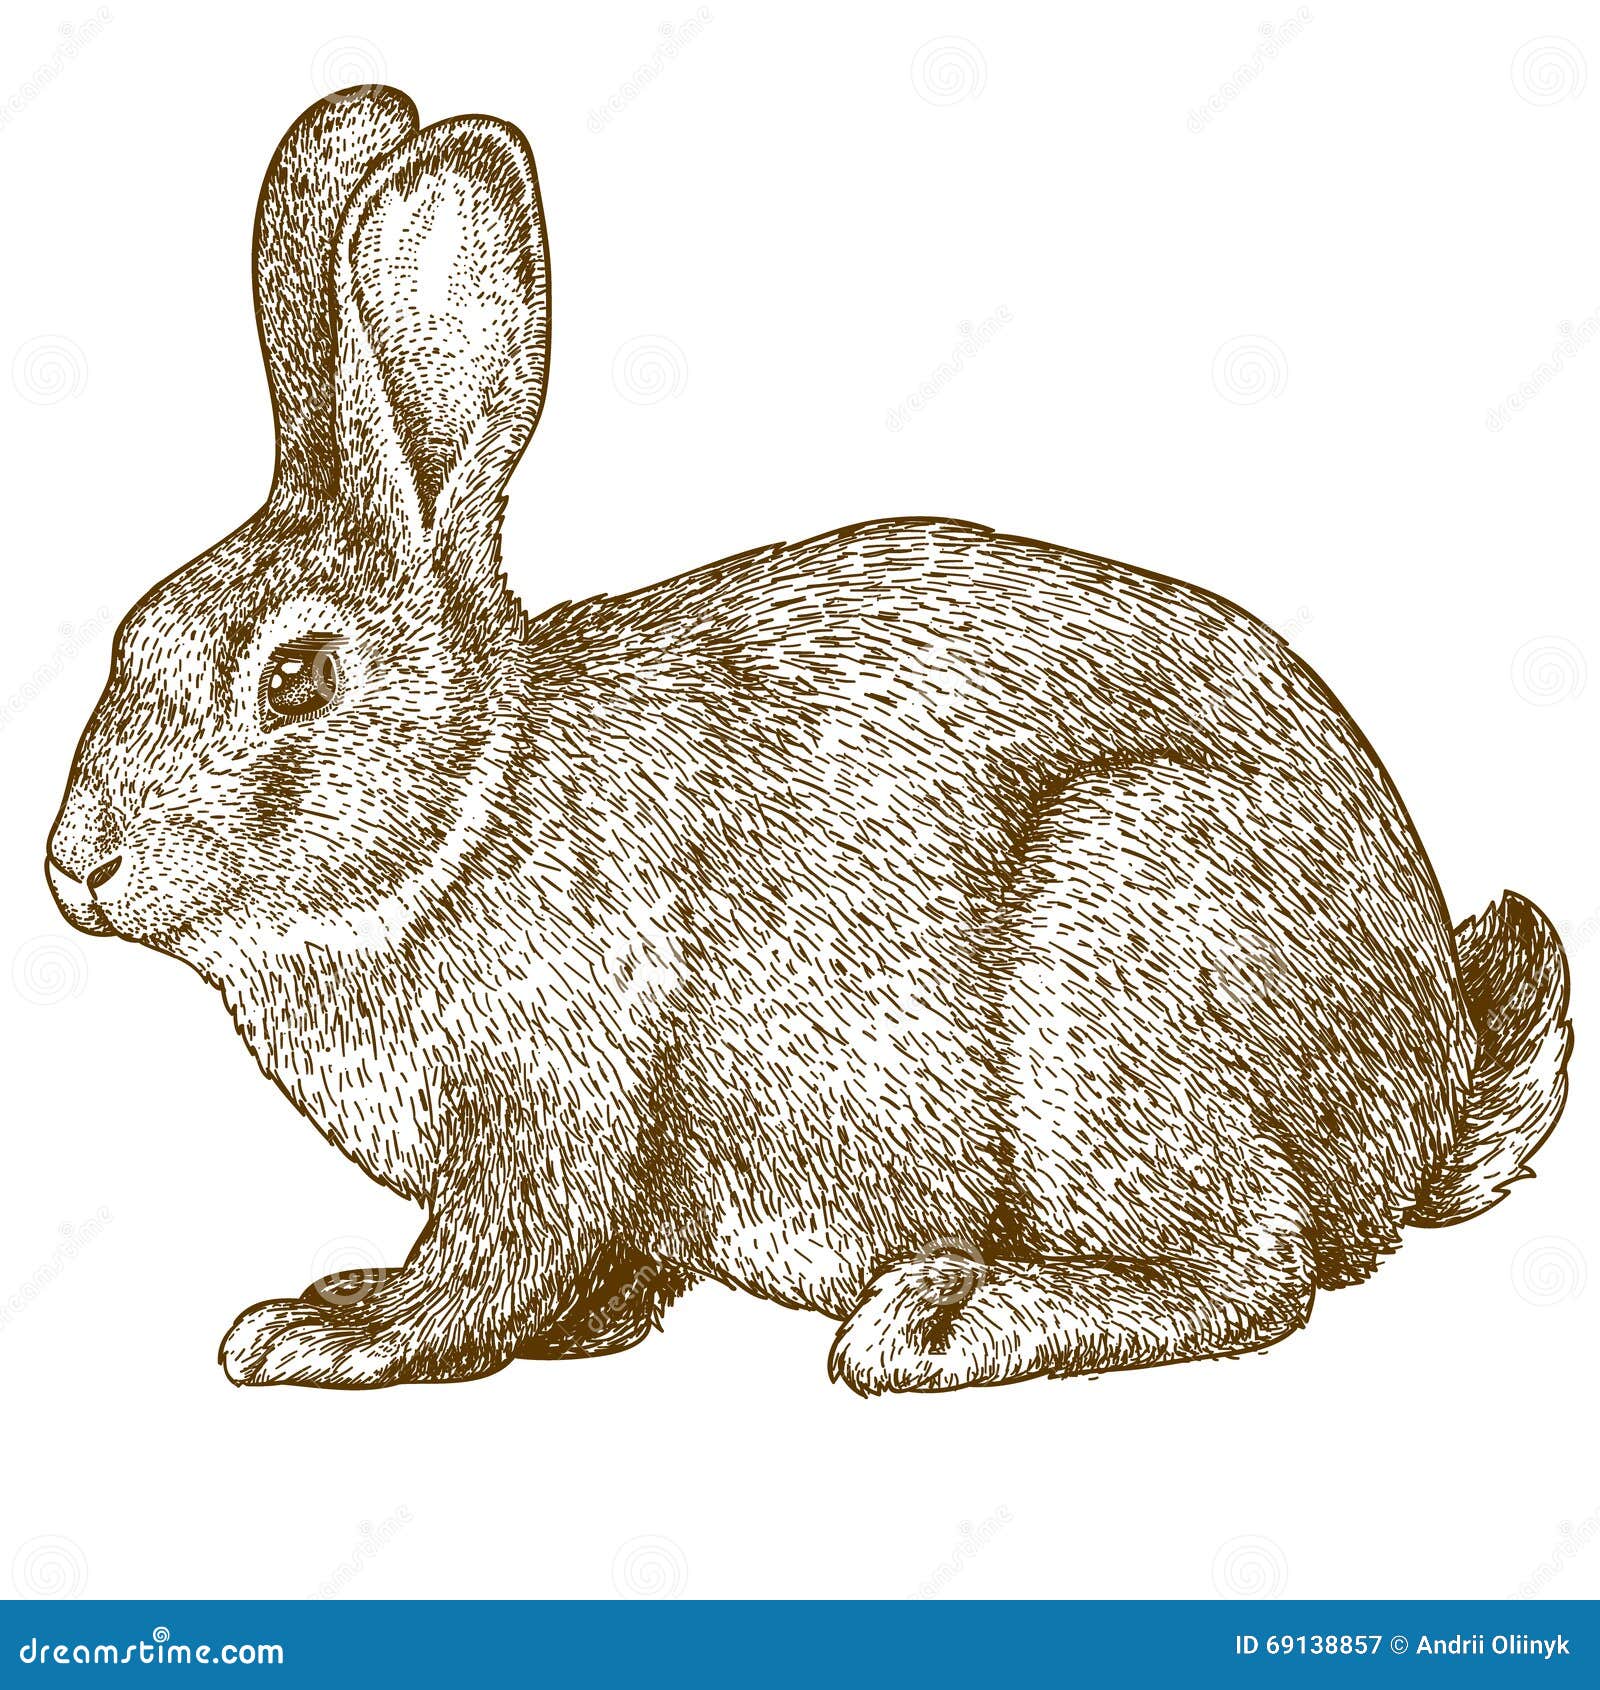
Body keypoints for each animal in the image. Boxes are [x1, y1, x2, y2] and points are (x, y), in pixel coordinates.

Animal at [47, 88, 1571, 1392]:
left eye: (297, 678)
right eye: (130, 638)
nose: (75, 867)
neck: (470, 810)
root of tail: (1425, 1094)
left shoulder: (555, 1104)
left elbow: (495, 1258)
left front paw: (334, 1330)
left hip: (1114, 952)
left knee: (1254, 1267)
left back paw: (949, 1319)